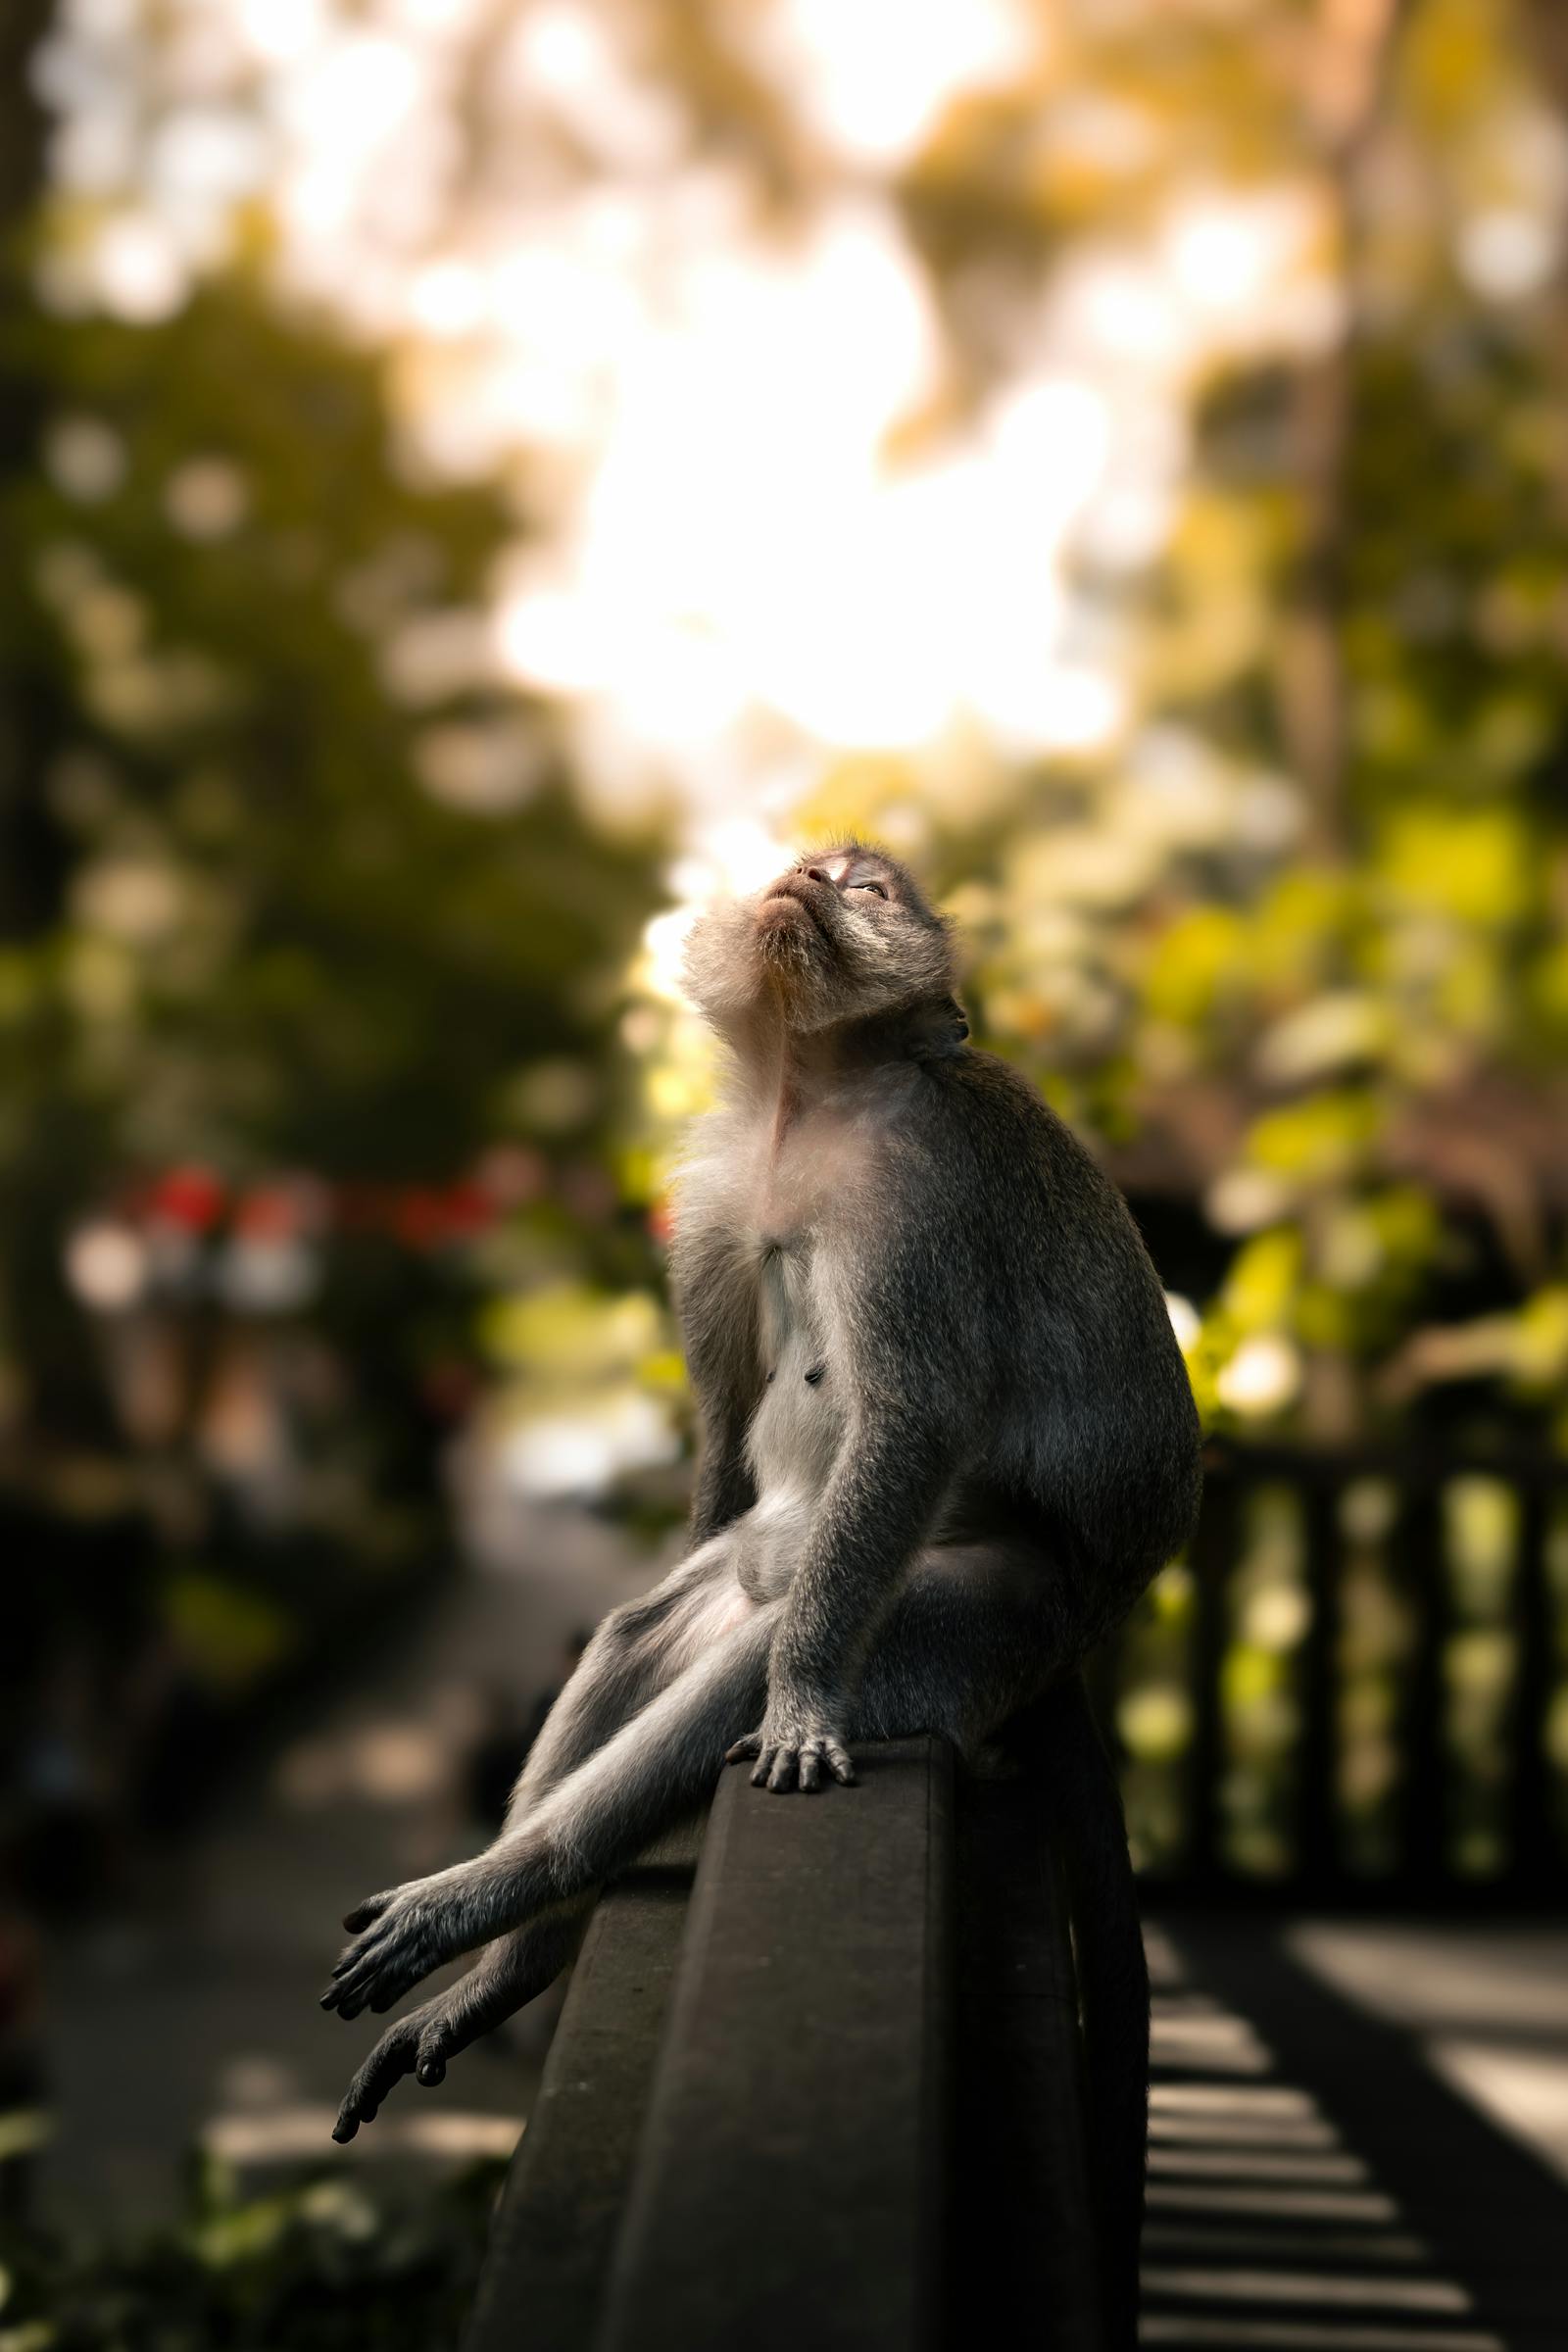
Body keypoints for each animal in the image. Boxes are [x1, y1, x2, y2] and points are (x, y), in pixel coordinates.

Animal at [322, 840, 1200, 2335]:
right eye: (816, 864)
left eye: (869, 888)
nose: (810, 874)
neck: (809, 1093)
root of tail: (1085, 1625)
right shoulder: (719, 1182)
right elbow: (729, 1431)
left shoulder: (920, 1200)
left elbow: (913, 1419)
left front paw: (794, 1698)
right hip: (792, 1584)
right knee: (644, 1631)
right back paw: (514, 1961)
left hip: (985, 1627)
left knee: (769, 1651)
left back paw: (519, 1879)